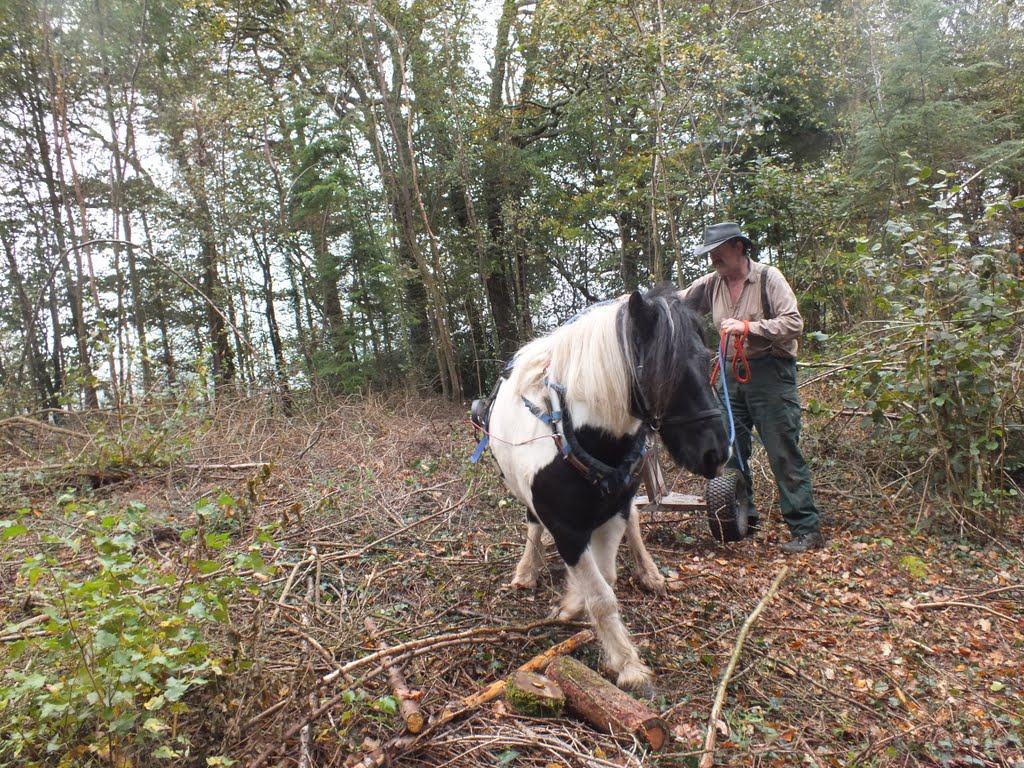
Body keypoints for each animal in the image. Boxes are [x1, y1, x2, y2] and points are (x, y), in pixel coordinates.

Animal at [482, 285, 730, 691]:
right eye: (663, 376)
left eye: (708, 360)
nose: (716, 452)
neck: (578, 437)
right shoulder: (566, 529)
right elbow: (599, 594)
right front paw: (627, 664)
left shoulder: (612, 514)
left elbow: (607, 580)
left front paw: (578, 607)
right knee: (533, 523)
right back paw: (527, 570)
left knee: (634, 520)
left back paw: (649, 572)